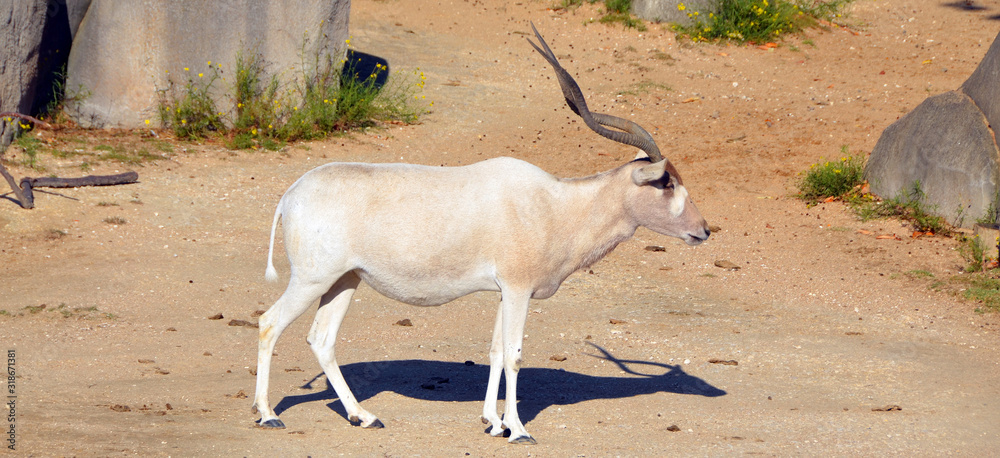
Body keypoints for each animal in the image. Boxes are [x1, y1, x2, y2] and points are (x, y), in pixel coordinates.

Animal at [252, 24, 710, 445]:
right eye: (666, 182)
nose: (703, 230)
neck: (556, 205)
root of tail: (291, 194)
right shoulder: (519, 289)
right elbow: (514, 355)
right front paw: (519, 429)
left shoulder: (505, 292)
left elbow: (494, 352)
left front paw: (493, 421)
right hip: (312, 279)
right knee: (270, 323)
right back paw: (269, 415)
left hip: (344, 281)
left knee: (321, 339)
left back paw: (363, 416)